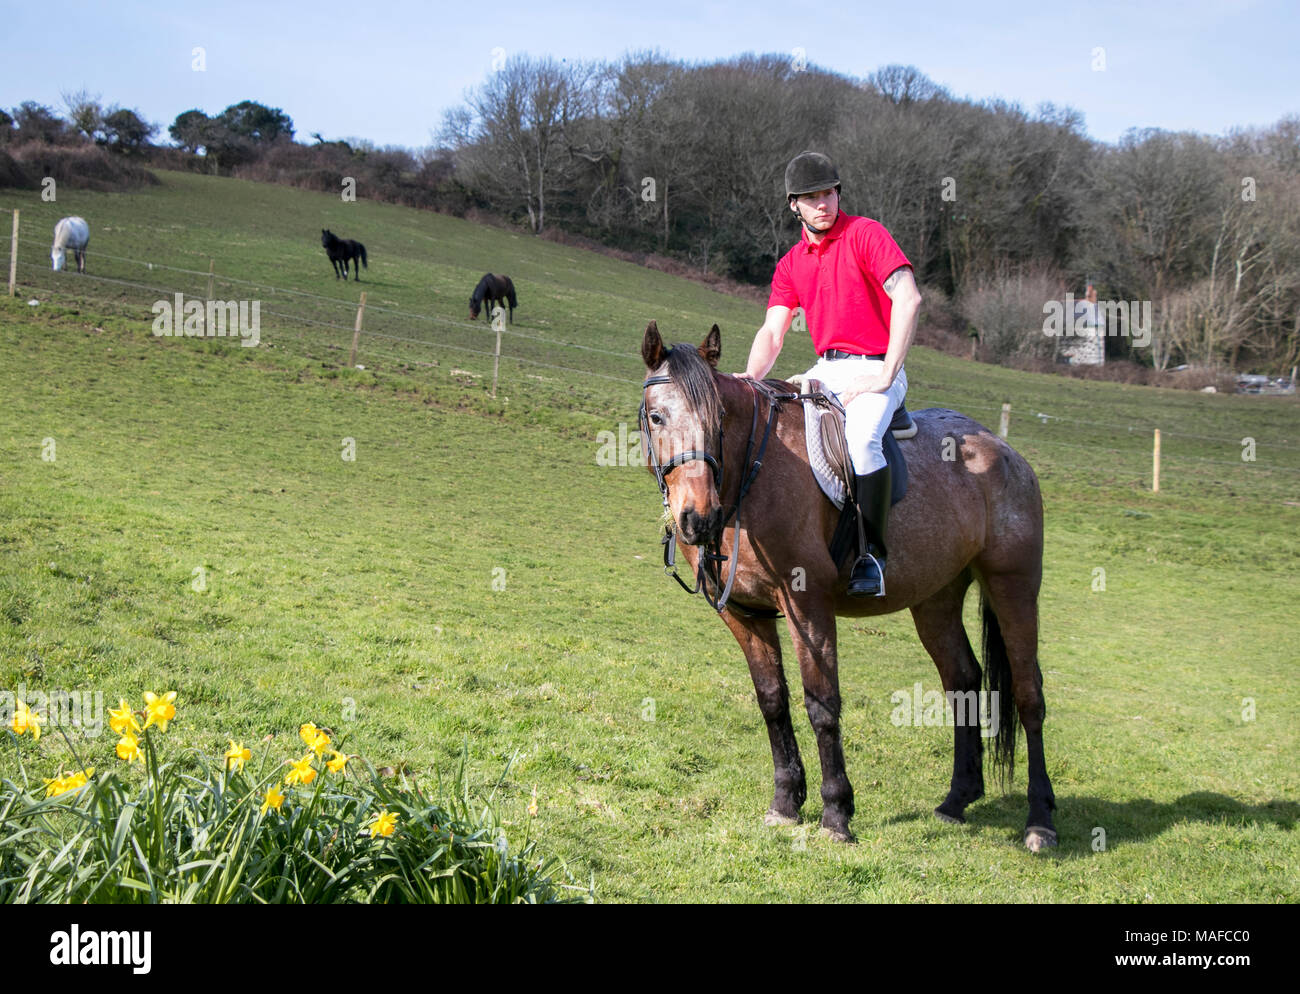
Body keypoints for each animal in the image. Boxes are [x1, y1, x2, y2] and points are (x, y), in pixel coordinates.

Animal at [638, 322, 1057, 852]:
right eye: (656, 417)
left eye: (719, 419)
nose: (698, 517)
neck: (749, 479)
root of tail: (1003, 450)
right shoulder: (744, 614)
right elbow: (772, 700)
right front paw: (785, 803)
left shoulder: (807, 605)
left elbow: (821, 705)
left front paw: (836, 813)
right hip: (936, 600)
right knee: (962, 679)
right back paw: (957, 800)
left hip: (1013, 587)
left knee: (1028, 694)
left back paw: (1040, 820)